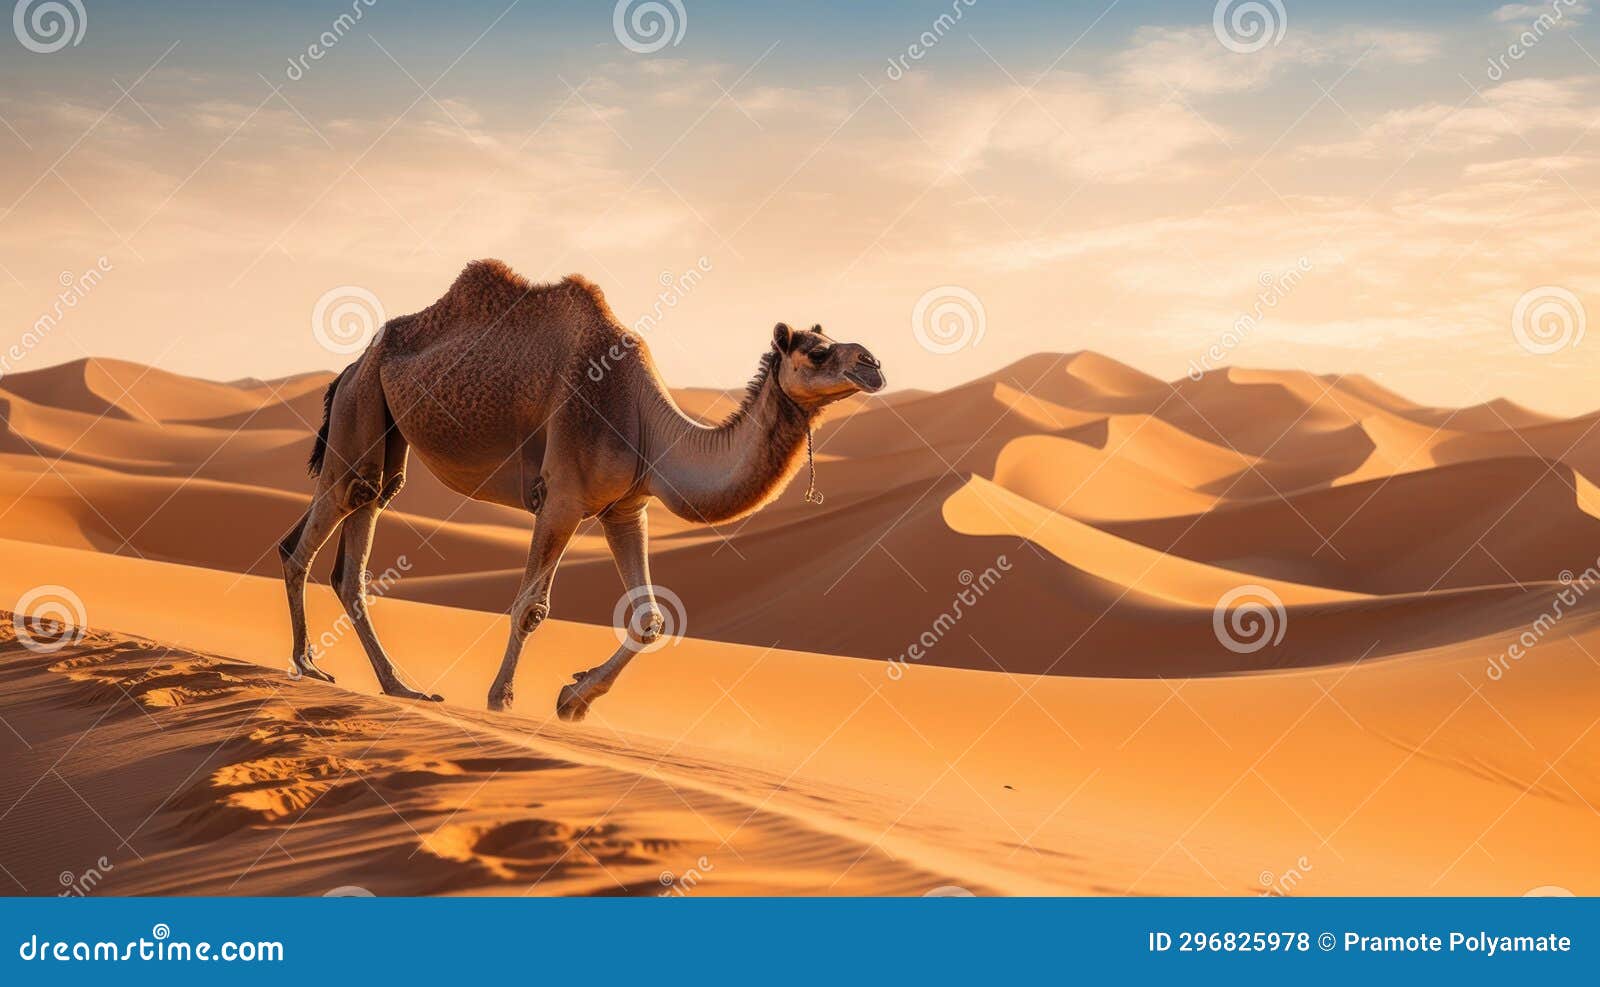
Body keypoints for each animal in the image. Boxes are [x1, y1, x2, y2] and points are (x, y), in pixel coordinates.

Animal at [278, 259, 886, 721]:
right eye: (818, 352)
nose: (875, 363)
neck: (646, 421)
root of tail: (351, 365)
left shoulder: (626, 510)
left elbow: (650, 619)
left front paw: (574, 698)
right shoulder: (563, 498)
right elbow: (531, 605)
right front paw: (502, 699)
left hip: (386, 434)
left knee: (360, 537)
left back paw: (399, 685)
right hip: (361, 405)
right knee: (329, 517)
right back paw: (309, 665)